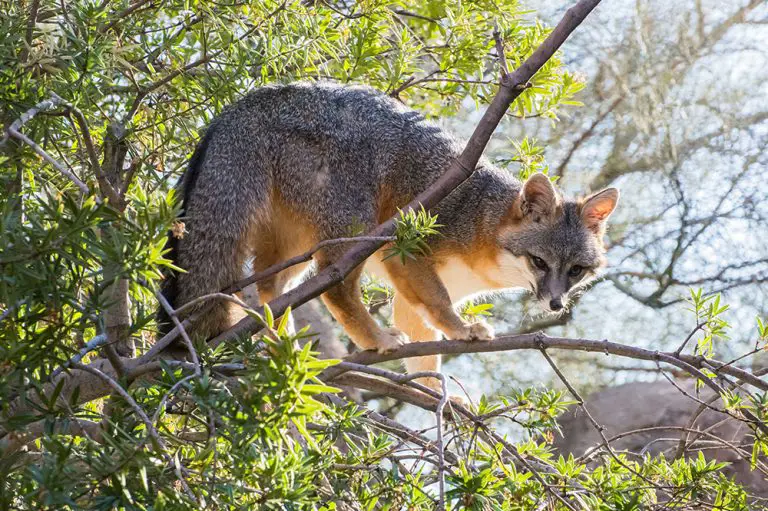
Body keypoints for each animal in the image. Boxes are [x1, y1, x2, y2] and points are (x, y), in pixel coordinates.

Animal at [158, 81, 619, 390]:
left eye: (576, 271)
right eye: (539, 262)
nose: (555, 303)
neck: (482, 219)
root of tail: (256, 99)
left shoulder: (412, 295)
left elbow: (427, 351)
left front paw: (433, 398)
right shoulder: (407, 252)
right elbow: (439, 307)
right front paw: (462, 330)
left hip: (296, 245)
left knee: (271, 285)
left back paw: (281, 343)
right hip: (352, 233)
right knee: (334, 285)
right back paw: (372, 338)